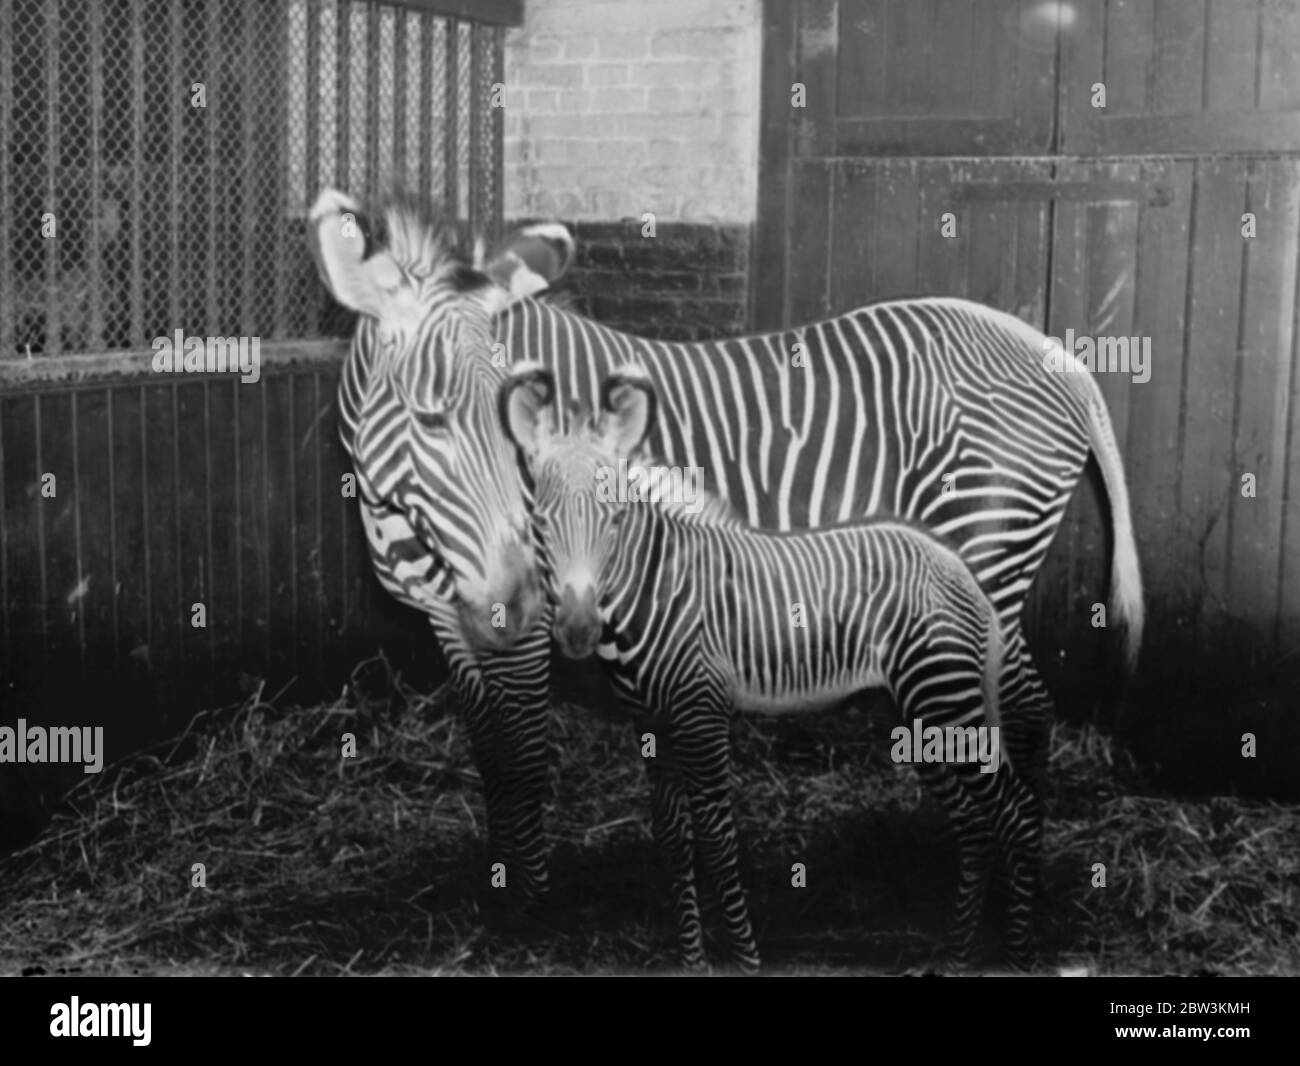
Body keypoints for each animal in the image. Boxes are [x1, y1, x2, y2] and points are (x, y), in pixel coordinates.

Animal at [499, 364, 1040, 971]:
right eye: (538, 524)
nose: (577, 630)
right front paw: (692, 960)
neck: (656, 588)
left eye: (614, 520)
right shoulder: (653, 726)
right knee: (974, 825)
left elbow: (716, 838)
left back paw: (1018, 954)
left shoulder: (702, 713)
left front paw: (743, 958)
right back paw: (955, 953)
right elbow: (673, 841)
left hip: (947, 700)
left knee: (1016, 813)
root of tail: (959, 568)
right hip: (916, 712)